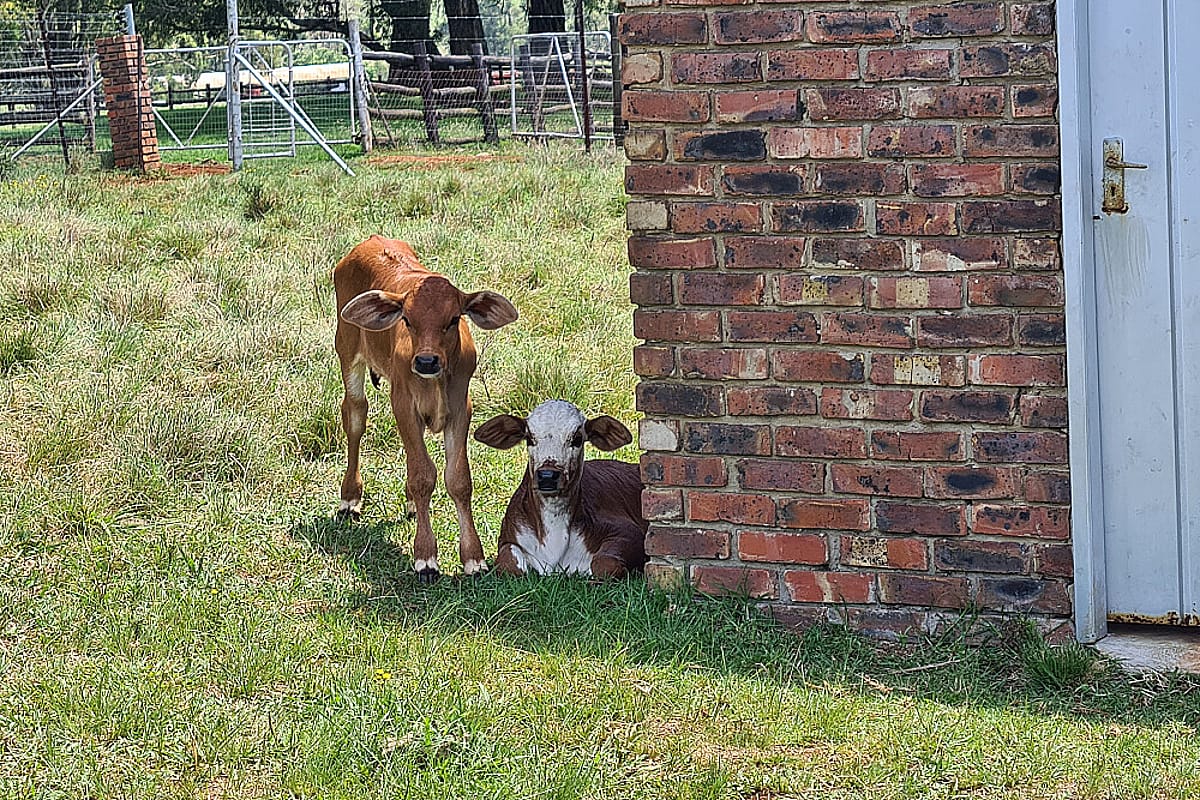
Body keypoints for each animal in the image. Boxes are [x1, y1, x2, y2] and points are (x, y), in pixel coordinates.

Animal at [333, 235, 518, 581]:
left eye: (454, 319)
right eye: (407, 320)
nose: (427, 361)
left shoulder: (460, 408)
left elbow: (458, 479)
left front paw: (473, 558)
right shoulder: (404, 403)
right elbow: (422, 475)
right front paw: (426, 557)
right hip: (347, 350)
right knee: (355, 415)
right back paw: (350, 497)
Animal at [473, 400, 648, 578]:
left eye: (577, 439)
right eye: (529, 438)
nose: (547, 476)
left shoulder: (628, 532)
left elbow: (605, 563)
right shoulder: (508, 535)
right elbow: (507, 561)